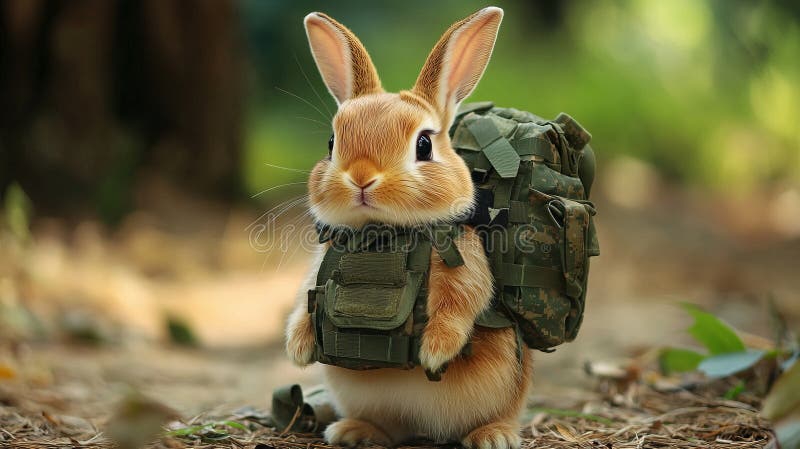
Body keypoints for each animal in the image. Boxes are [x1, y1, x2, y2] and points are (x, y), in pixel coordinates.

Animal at [285, 7, 532, 449]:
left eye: (424, 145)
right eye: (331, 143)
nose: (362, 178)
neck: (382, 234)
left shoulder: (462, 261)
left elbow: (459, 305)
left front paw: (434, 352)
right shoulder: (318, 265)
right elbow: (302, 301)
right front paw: (297, 351)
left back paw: (492, 435)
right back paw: (353, 431)